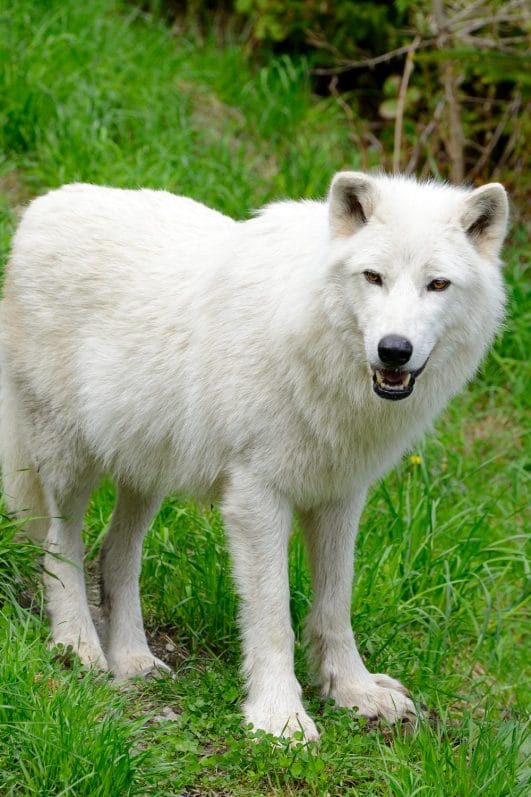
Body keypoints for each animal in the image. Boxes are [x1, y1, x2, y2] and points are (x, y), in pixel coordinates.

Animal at [0, 173, 508, 740]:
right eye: (373, 277)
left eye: (437, 284)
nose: (393, 350)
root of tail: (43, 204)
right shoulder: (257, 498)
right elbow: (272, 618)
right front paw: (280, 718)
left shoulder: (341, 496)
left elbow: (336, 605)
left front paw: (354, 691)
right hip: (68, 462)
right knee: (59, 545)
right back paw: (77, 645)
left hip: (146, 469)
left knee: (115, 555)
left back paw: (133, 660)